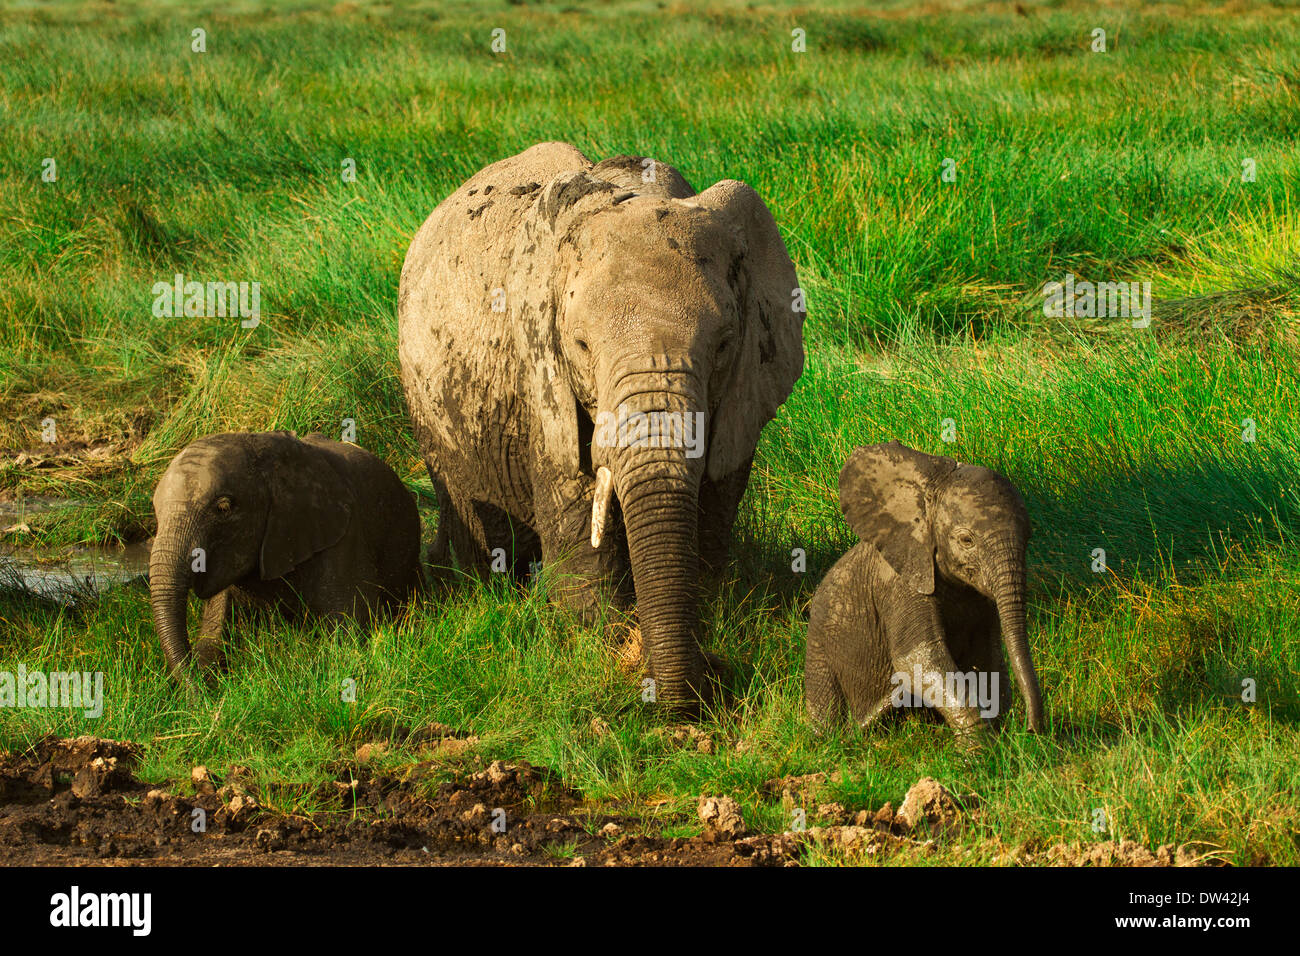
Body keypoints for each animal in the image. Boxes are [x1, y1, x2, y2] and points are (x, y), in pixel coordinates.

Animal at [397, 142, 805, 708]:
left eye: (724, 344)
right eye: (582, 345)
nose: (697, 691)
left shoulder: (743, 390)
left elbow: (715, 502)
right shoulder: (540, 381)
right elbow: (574, 509)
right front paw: (600, 639)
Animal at [804, 441, 1045, 744]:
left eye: (1029, 536)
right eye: (966, 540)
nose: (1032, 730)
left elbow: (986, 655)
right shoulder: (901, 587)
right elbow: (917, 659)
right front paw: (980, 751)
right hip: (819, 654)